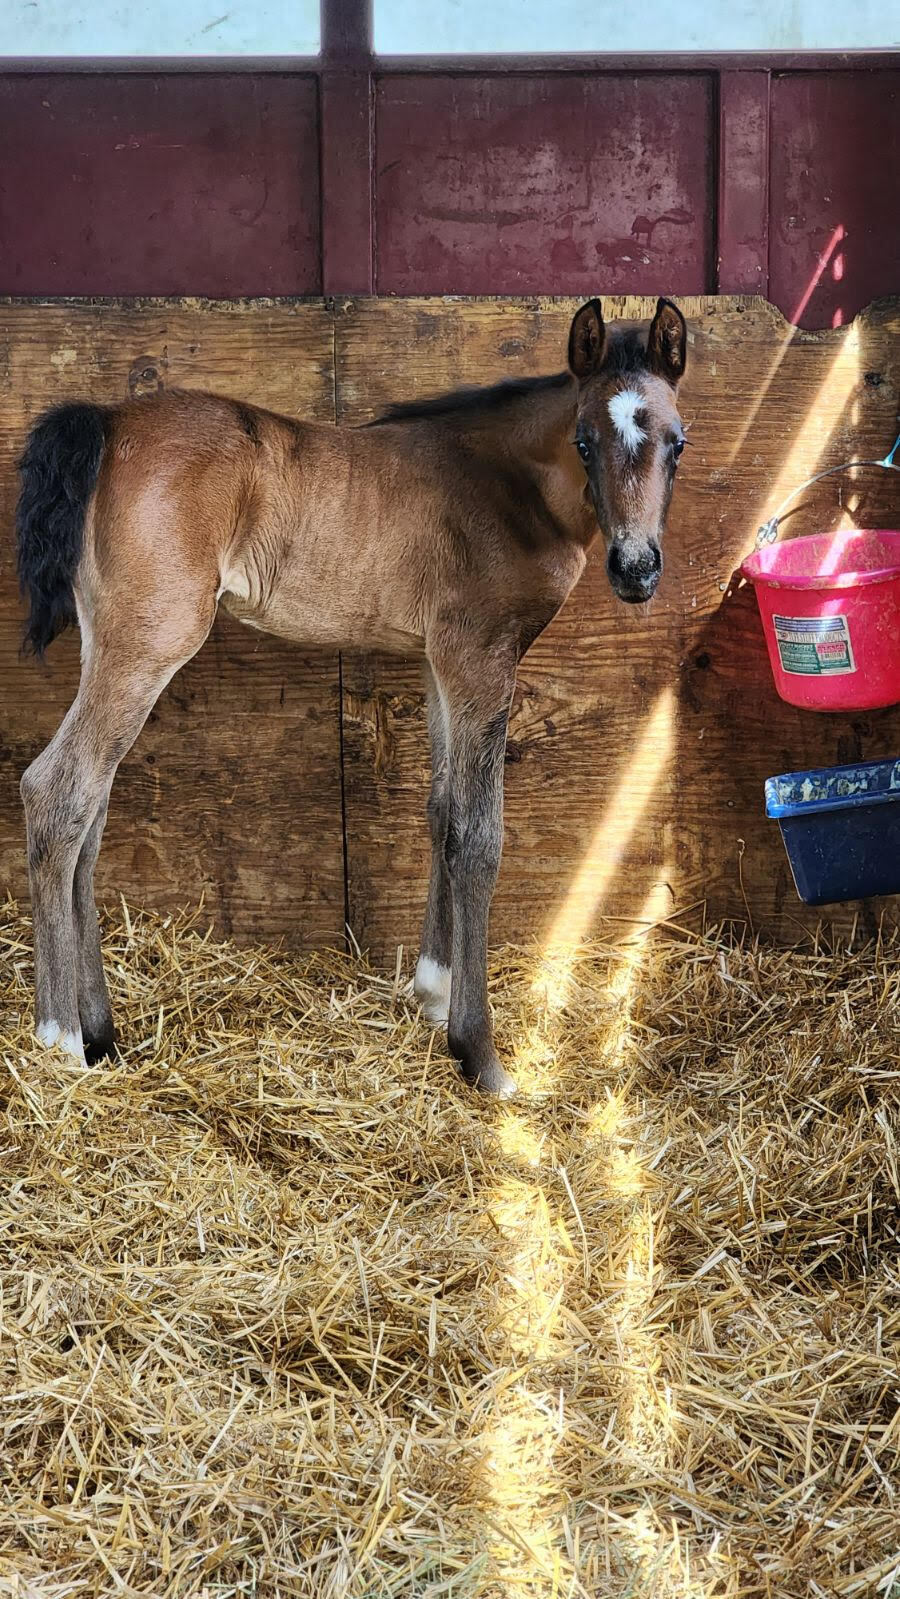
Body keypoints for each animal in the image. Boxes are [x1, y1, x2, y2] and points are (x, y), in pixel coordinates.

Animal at [16, 295, 687, 1097]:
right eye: (584, 442)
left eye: (677, 444)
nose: (637, 570)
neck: (509, 485)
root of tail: (108, 419)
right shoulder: (480, 657)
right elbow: (480, 837)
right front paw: (479, 1052)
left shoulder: (439, 661)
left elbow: (441, 812)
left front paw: (433, 993)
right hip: (151, 641)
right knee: (57, 790)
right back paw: (57, 1039)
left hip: (111, 642)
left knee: (90, 810)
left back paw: (99, 1031)